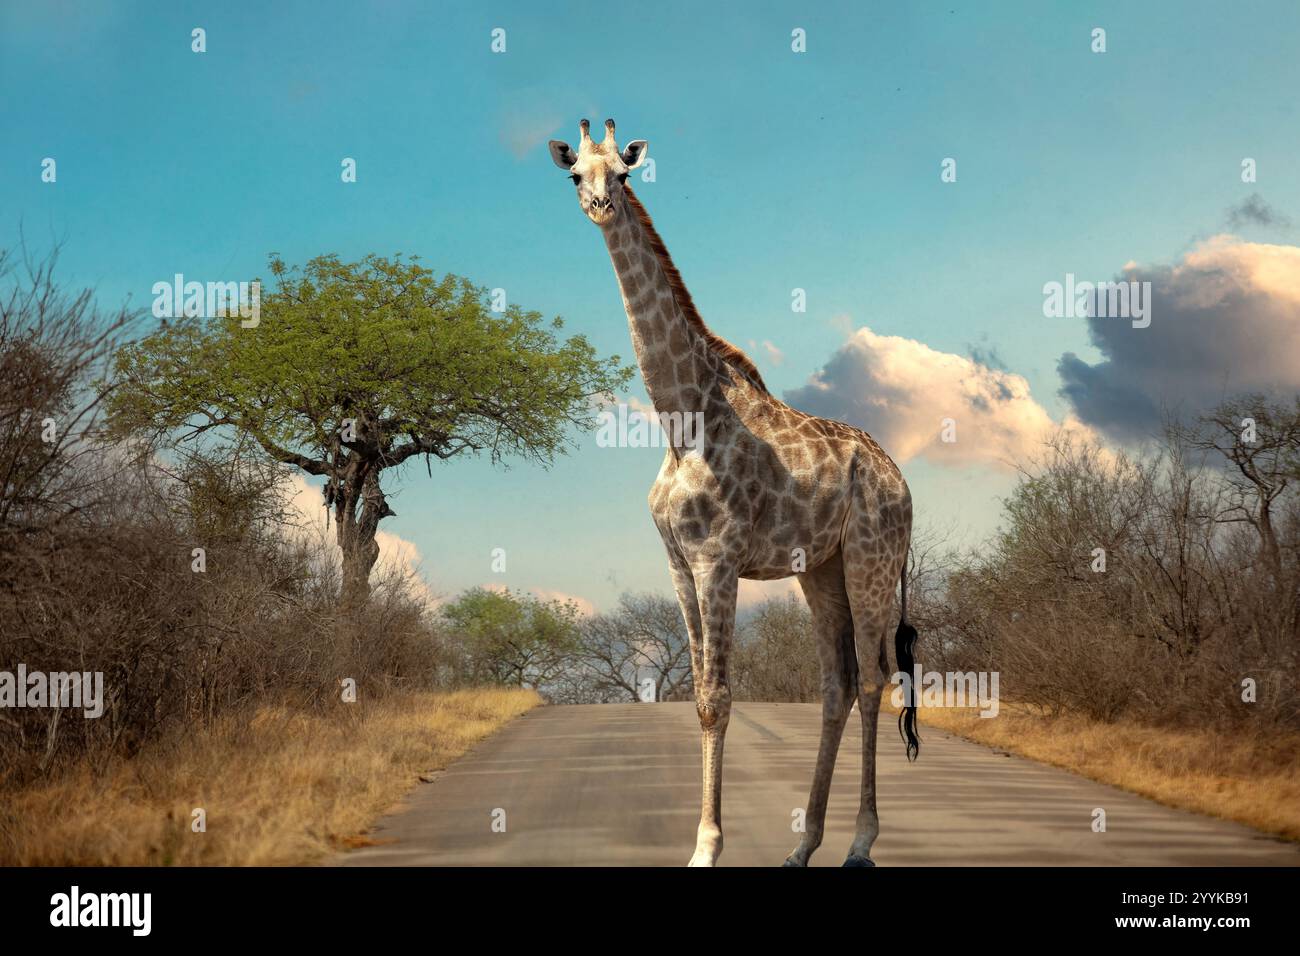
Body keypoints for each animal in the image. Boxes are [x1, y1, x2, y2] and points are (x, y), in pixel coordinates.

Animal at [549, 119, 919, 867]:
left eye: (624, 173)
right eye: (576, 174)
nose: (600, 205)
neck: (679, 418)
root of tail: (904, 484)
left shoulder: (718, 559)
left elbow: (719, 698)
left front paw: (706, 848)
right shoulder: (678, 563)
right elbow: (700, 697)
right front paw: (707, 843)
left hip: (871, 560)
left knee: (872, 679)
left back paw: (860, 843)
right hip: (821, 570)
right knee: (836, 684)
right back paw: (802, 845)